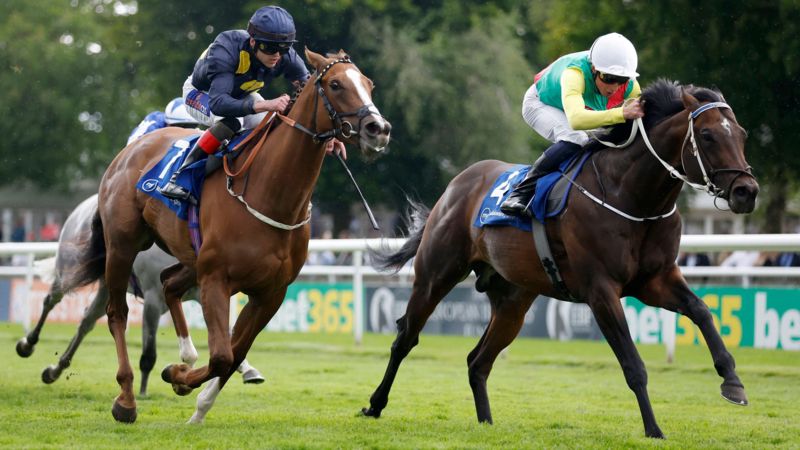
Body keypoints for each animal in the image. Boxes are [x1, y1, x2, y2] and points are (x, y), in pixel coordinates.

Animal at [15, 194, 265, 396]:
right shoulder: (154, 299)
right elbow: (149, 352)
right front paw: (144, 389)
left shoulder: (204, 290)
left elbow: (230, 333)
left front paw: (248, 369)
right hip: (70, 267)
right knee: (51, 300)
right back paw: (28, 343)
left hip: (107, 286)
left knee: (86, 321)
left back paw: (55, 369)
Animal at [63, 49, 391, 423]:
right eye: (335, 84)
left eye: (368, 84)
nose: (379, 129)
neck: (270, 194)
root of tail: (130, 150)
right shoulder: (216, 279)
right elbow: (222, 355)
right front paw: (178, 378)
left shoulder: (270, 293)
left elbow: (235, 354)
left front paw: (192, 396)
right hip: (123, 245)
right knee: (116, 312)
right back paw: (126, 399)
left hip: (190, 258)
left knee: (168, 283)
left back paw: (184, 354)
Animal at [360, 80, 758, 439]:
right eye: (707, 135)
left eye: (741, 134)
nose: (746, 191)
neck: (633, 198)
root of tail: (455, 185)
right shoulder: (601, 291)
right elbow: (633, 365)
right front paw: (654, 430)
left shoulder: (656, 281)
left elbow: (702, 312)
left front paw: (733, 382)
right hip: (436, 275)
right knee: (405, 339)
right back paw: (375, 404)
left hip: (513, 301)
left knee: (478, 361)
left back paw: (486, 424)